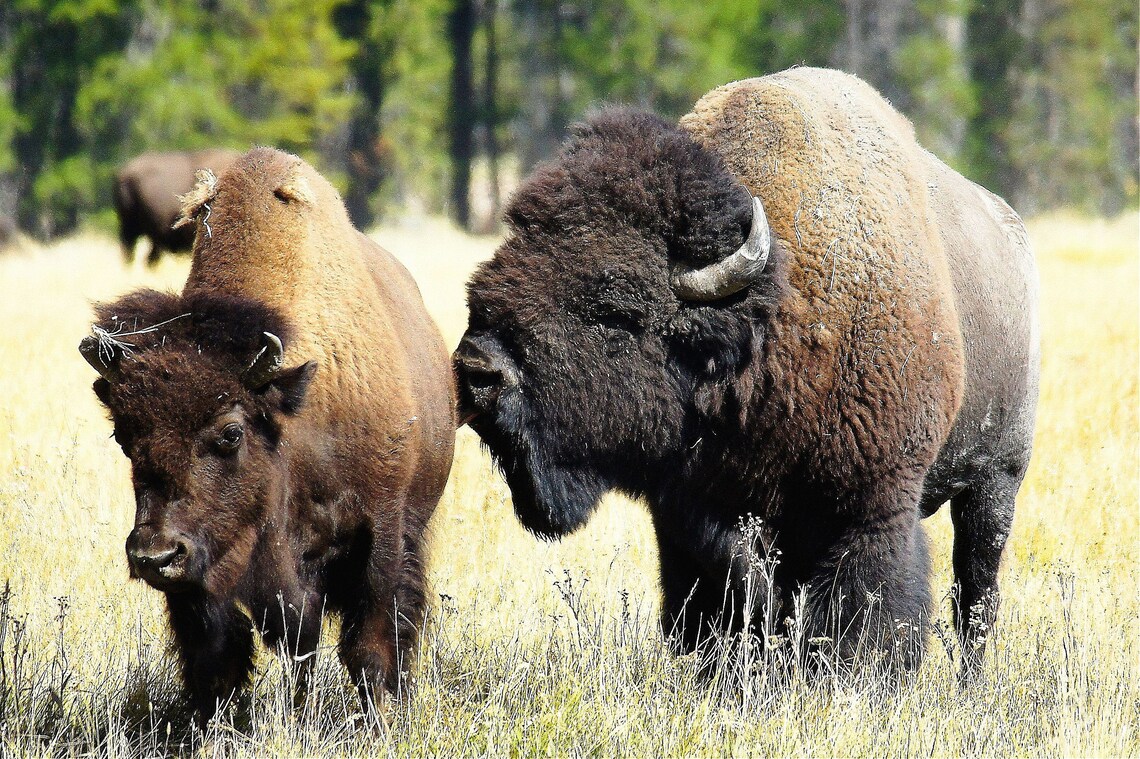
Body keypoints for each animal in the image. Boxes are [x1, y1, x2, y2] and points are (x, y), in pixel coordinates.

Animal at [82, 147, 455, 721]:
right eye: (124, 436)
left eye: (231, 433)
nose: (154, 557)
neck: (289, 426)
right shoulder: (207, 575)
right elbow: (219, 656)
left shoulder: (382, 531)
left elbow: (371, 643)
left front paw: (379, 719)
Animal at [454, 68, 1039, 675]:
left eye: (614, 309)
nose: (479, 370)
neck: (770, 312)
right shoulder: (694, 510)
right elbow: (734, 589)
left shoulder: (873, 501)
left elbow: (866, 600)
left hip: (996, 480)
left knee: (977, 590)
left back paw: (971, 677)